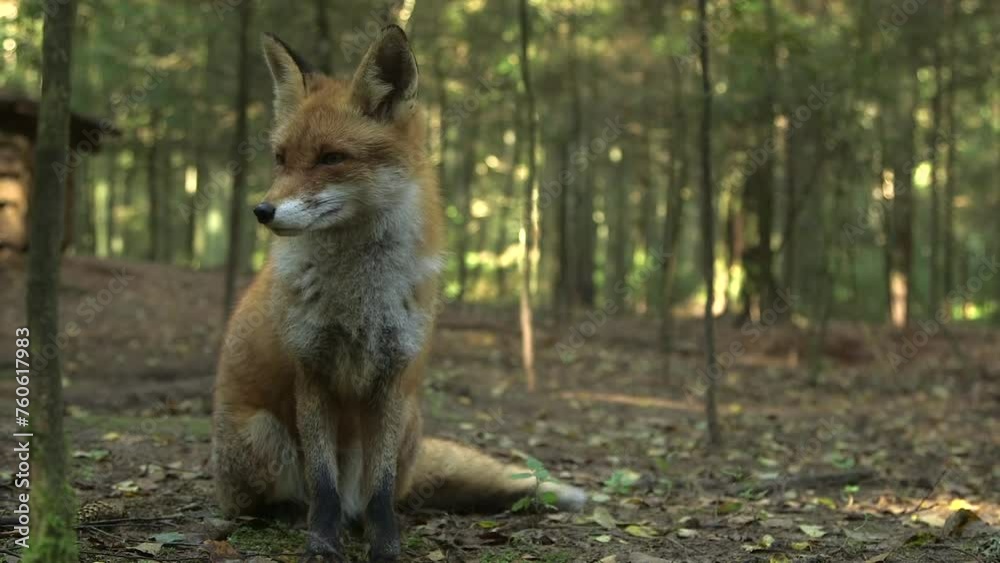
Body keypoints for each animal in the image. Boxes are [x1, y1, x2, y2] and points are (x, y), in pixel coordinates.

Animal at [211, 26, 586, 563]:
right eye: (281, 158)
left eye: (331, 158)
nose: (262, 211)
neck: (358, 298)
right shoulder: (312, 371)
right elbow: (321, 484)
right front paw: (321, 542)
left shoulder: (391, 375)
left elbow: (382, 489)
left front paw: (384, 542)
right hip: (261, 434)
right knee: (271, 500)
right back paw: (289, 515)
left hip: (409, 420)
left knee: (374, 495)